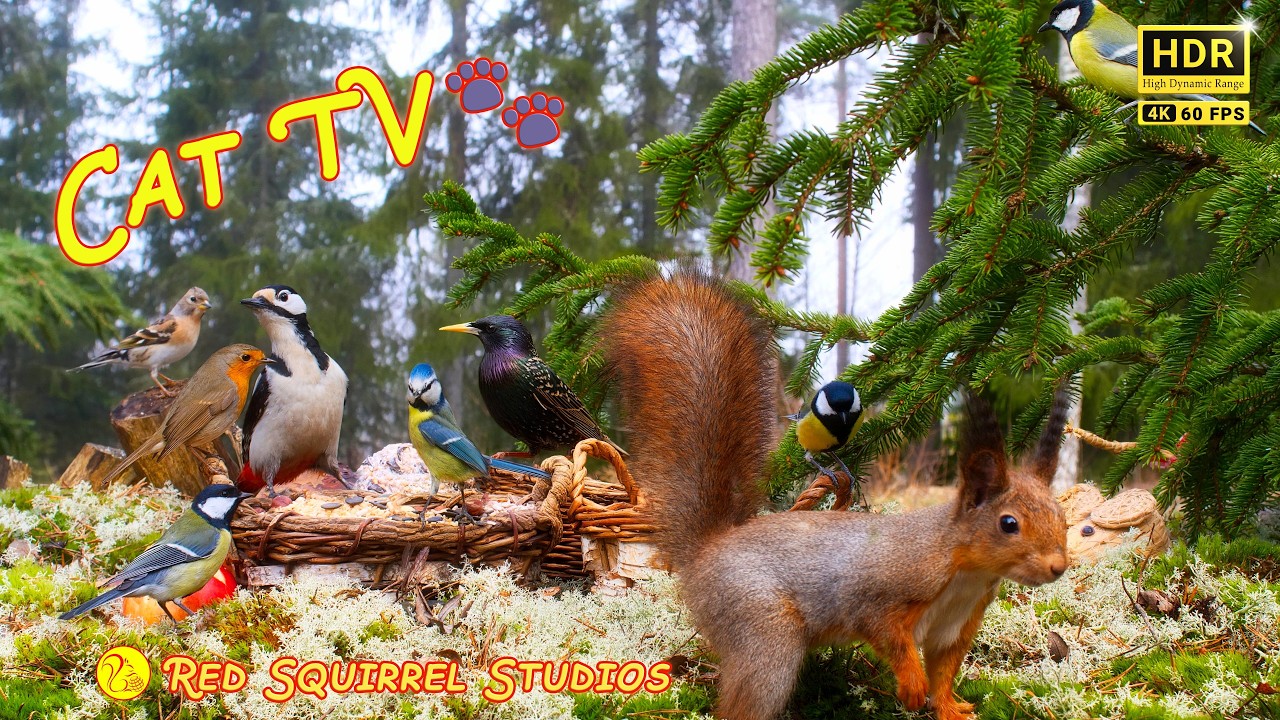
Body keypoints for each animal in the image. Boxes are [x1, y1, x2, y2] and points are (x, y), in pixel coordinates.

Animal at [603, 270, 1070, 720]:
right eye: (1008, 523)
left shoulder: (953, 627)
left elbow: (943, 674)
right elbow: (888, 635)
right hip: (762, 628)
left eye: (1063, 520)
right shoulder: (888, 590)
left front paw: (951, 709)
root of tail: (706, 551)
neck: (962, 567)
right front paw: (911, 687)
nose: (1058, 567)